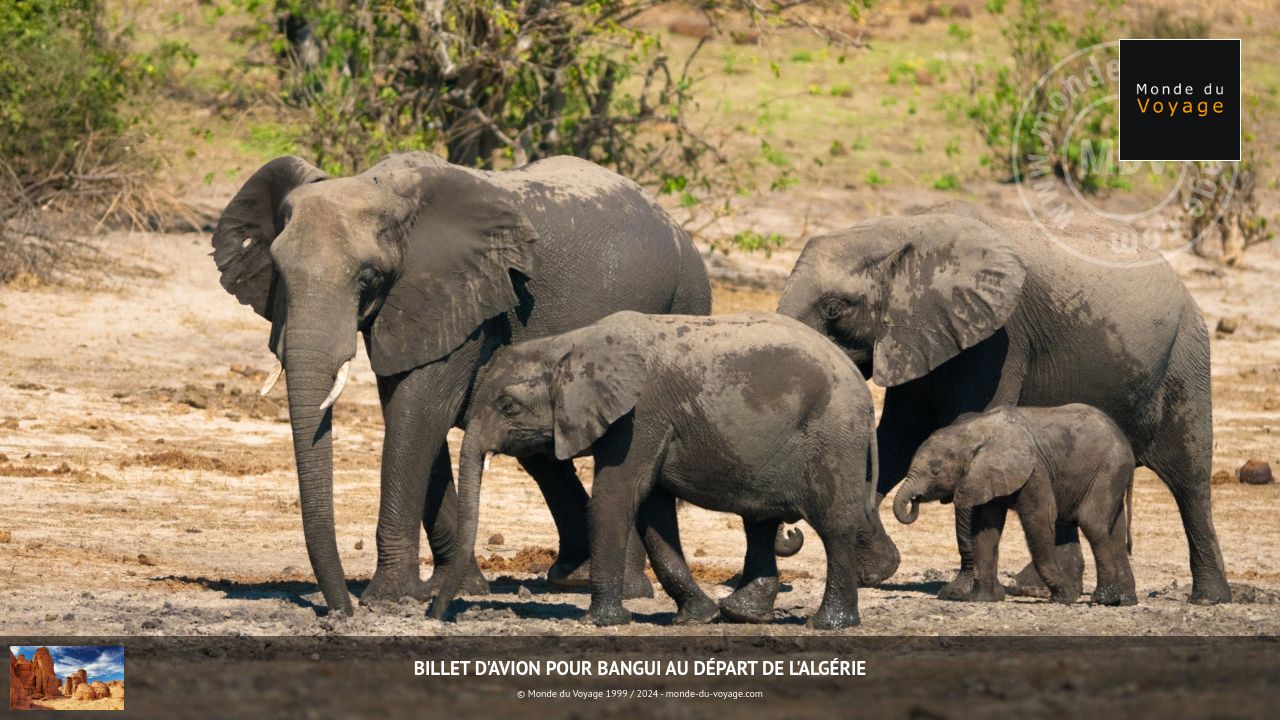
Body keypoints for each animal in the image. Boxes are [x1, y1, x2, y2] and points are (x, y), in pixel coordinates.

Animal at [209, 151, 711, 609]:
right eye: (278, 273)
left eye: (368, 276)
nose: (341, 610)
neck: (383, 189)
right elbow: (408, 413)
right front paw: (456, 588)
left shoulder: (463, 297)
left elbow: (418, 413)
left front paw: (387, 599)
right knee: (543, 456)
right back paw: (572, 578)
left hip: (684, 298)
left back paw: (626, 589)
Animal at [424, 311, 896, 625]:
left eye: (508, 405)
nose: (438, 614)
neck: (568, 344)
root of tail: (859, 381)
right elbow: (653, 513)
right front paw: (697, 618)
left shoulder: (641, 414)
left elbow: (616, 498)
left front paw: (599, 622)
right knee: (760, 521)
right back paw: (741, 614)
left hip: (832, 435)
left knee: (834, 524)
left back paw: (828, 624)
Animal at [896, 407, 1136, 602]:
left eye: (935, 472)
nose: (915, 500)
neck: (973, 432)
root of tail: (1127, 445)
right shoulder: (985, 475)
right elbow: (985, 529)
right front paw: (983, 599)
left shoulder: (1035, 470)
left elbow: (1039, 519)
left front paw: (1064, 597)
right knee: (1115, 531)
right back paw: (1123, 600)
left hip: (1108, 469)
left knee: (1092, 523)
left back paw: (1103, 599)